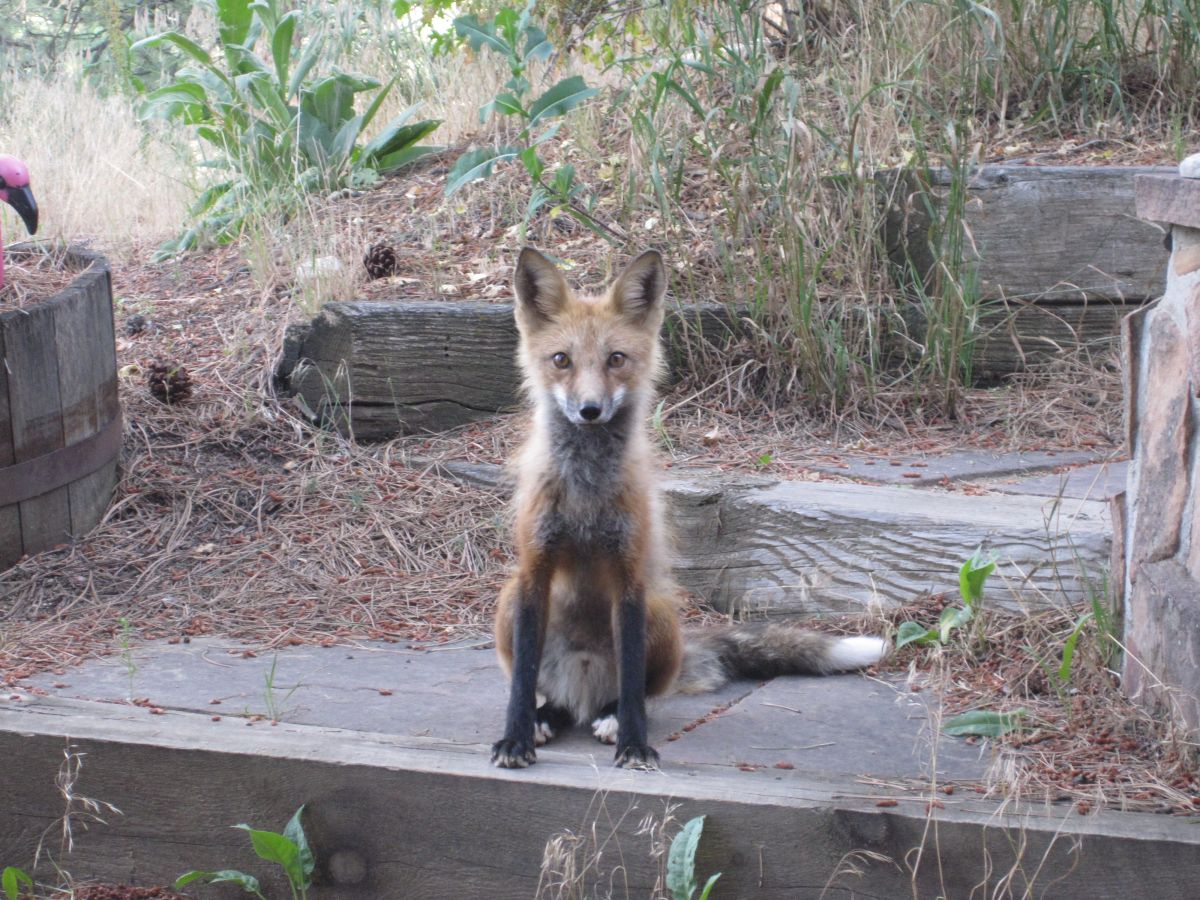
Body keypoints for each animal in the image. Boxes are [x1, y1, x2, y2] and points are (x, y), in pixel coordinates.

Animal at [492, 247, 888, 769]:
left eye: (616, 359)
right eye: (561, 360)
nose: (590, 410)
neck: (585, 494)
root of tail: (582, 690)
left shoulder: (630, 575)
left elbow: (633, 682)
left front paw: (634, 744)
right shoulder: (534, 568)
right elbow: (520, 684)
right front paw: (515, 737)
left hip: (659, 612)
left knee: (635, 691)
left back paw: (610, 715)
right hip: (508, 601)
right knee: (550, 693)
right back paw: (549, 716)